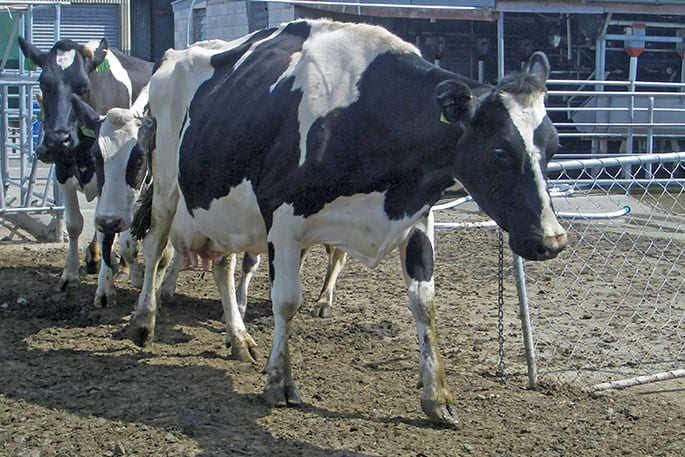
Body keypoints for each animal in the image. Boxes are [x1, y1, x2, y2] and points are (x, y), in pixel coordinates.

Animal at [18, 36, 154, 306]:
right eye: (43, 82)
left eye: (83, 85)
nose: (58, 140)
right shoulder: (63, 172)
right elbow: (74, 225)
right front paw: (69, 275)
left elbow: (108, 232)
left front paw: (105, 286)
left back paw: (123, 268)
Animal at [131, 19, 567, 425]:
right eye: (500, 151)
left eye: (554, 146)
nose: (553, 241)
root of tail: (174, 55)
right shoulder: (282, 216)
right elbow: (286, 301)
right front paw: (279, 382)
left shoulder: (416, 218)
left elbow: (424, 304)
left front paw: (438, 395)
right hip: (167, 181)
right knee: (155, 246)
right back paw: (142, 322)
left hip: (223, 206)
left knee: (223, 264)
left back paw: (238, 339)